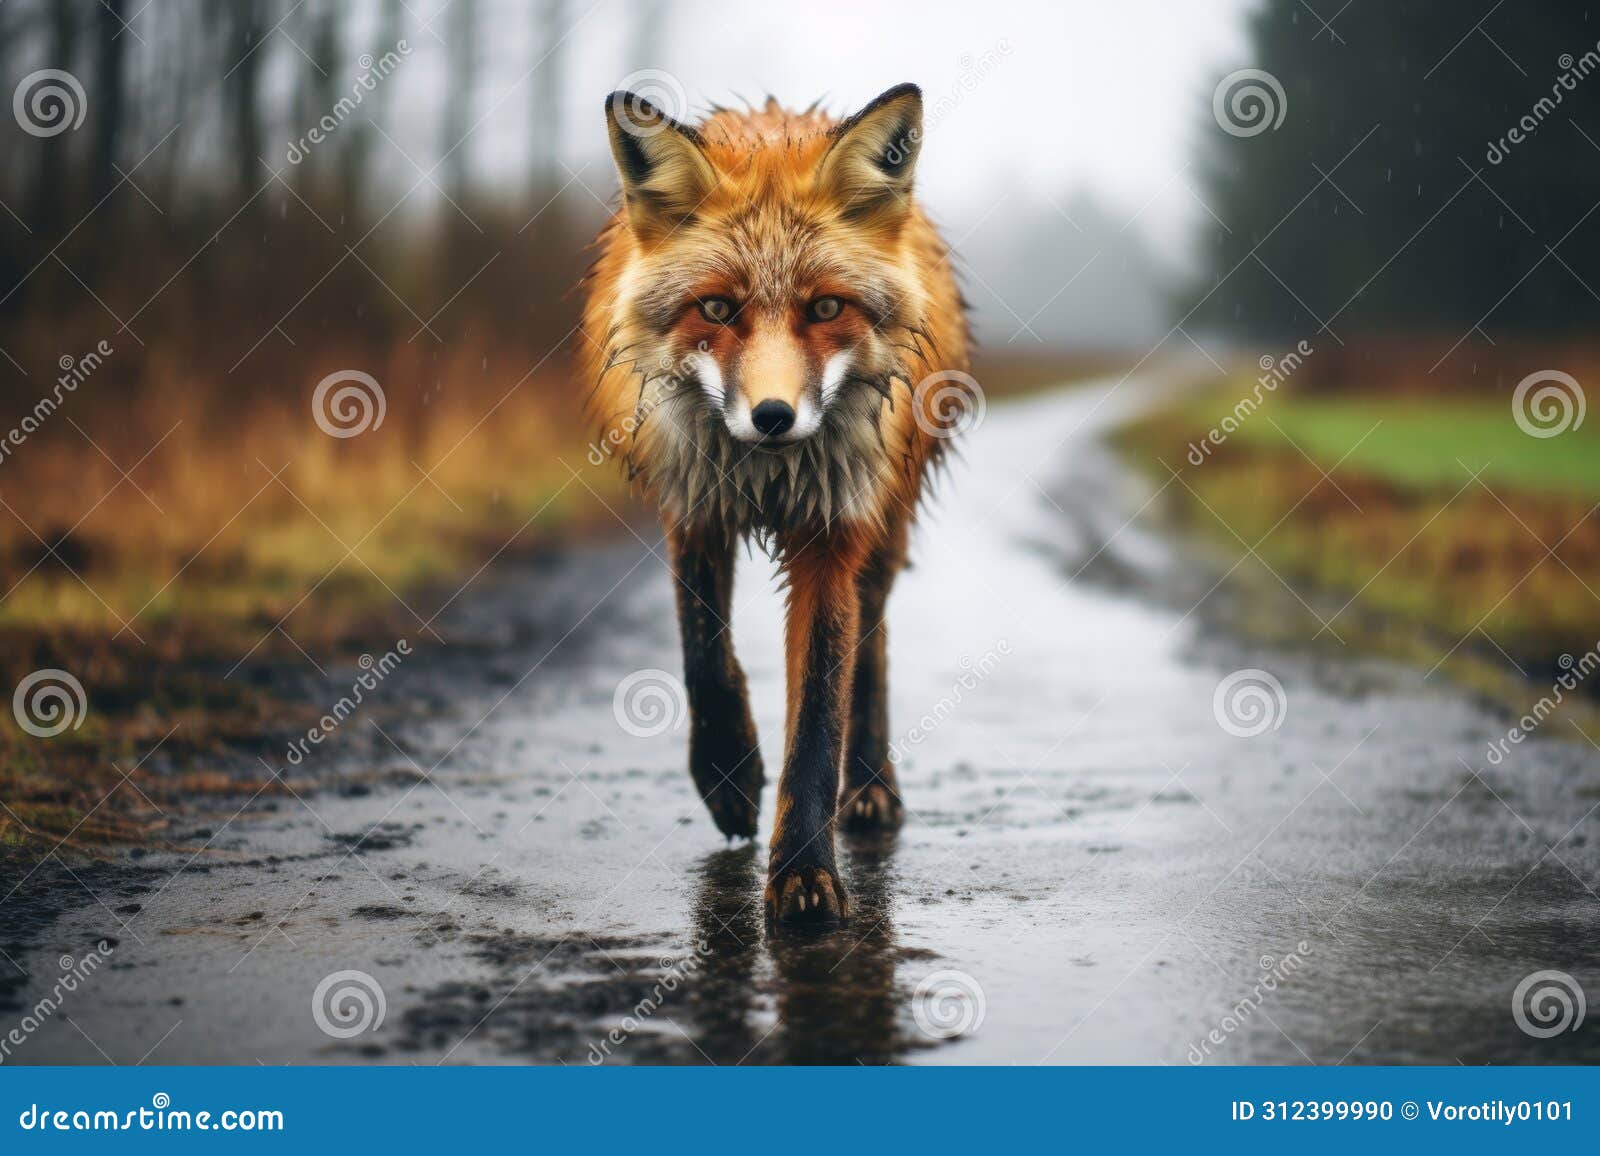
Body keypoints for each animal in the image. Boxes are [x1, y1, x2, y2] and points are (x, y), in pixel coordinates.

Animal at [580, 83, 972, 925]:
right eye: (716, 311)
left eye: (825, 309)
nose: (771, 417)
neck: (769, 476)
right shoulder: (693, 506)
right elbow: (704, 658)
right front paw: (728, 777)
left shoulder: (833, 531)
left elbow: (821, 710)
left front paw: (802, 873)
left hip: (885, 522)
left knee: (872, 647)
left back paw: (871, 786)